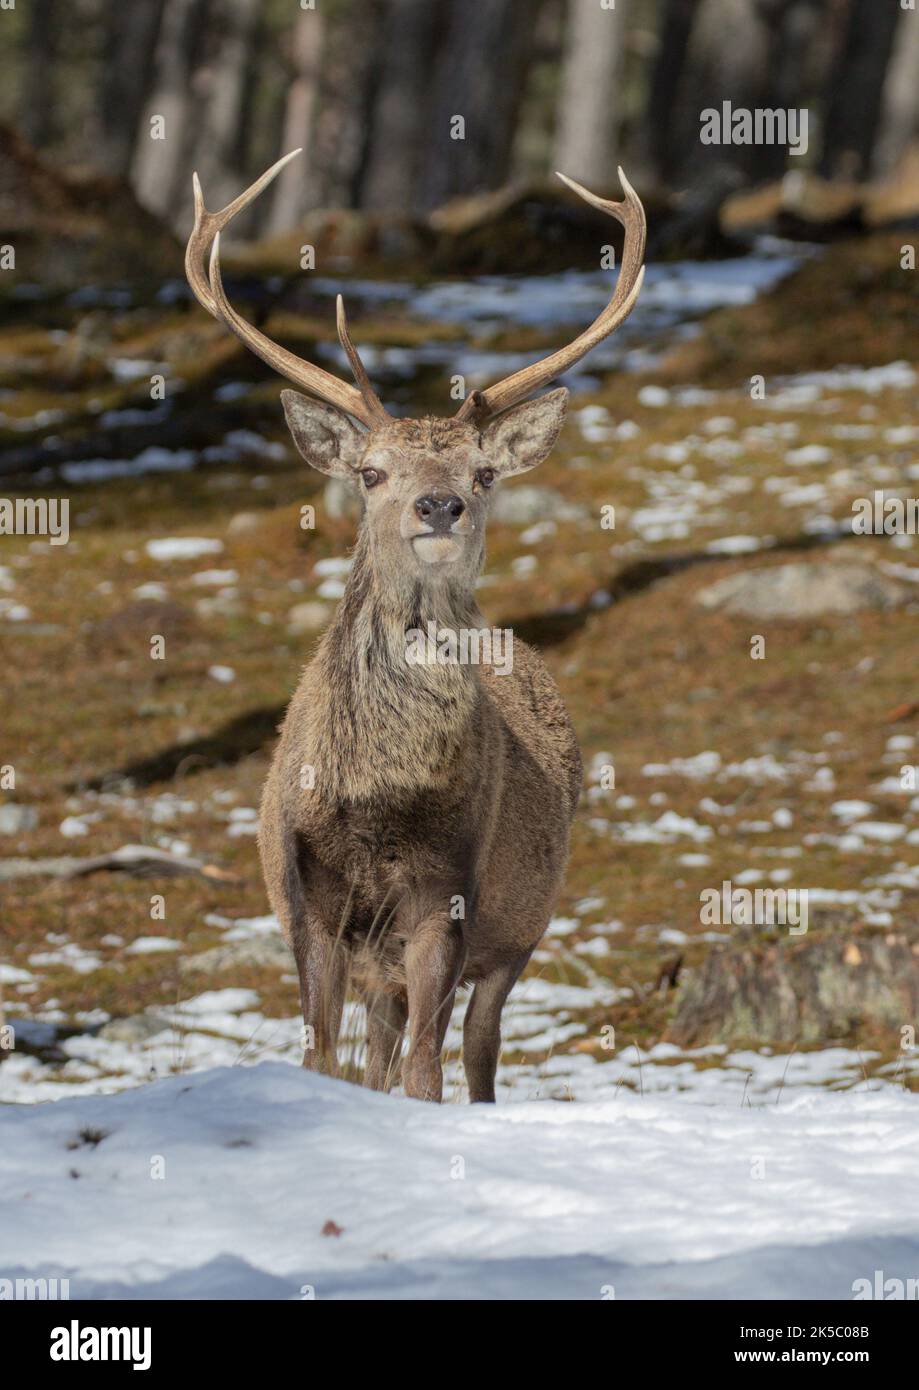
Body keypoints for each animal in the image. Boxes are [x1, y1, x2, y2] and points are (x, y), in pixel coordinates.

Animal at [185, 150, 646, 1102]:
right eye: (369, 472)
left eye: (483, 472)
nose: (438, 505)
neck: (378, 800)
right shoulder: (312, 901)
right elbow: (320, 1055)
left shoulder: (448, 897)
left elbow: (428, 1073)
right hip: (384, 962)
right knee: (379, 1047)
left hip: (525, 923)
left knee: (476, 1046)